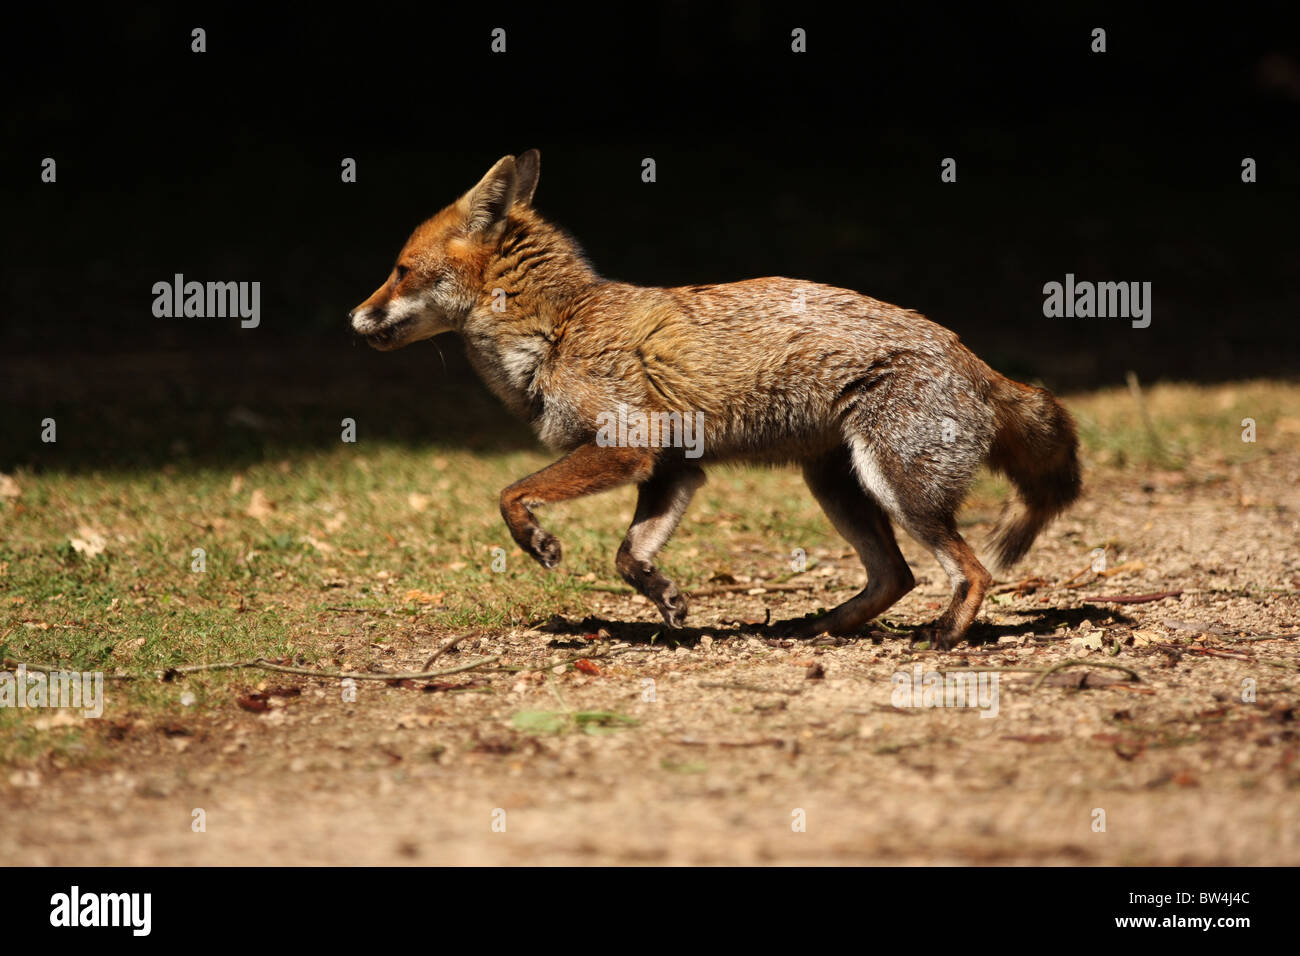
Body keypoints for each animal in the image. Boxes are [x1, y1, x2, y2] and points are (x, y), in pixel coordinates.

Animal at [349, 151, 1081, 648]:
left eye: (400, 270)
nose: (353, 317)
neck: (556, 330)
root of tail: (973, 358)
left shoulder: (628, 447)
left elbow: (510, 493)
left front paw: (537, 543)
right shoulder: (674, 468)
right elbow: (629, 556)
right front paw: (667, 601)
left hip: (901, 489)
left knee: (972, 571)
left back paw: (943, 637)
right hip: (835, 484)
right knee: (894, 578)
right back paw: (811, 627)